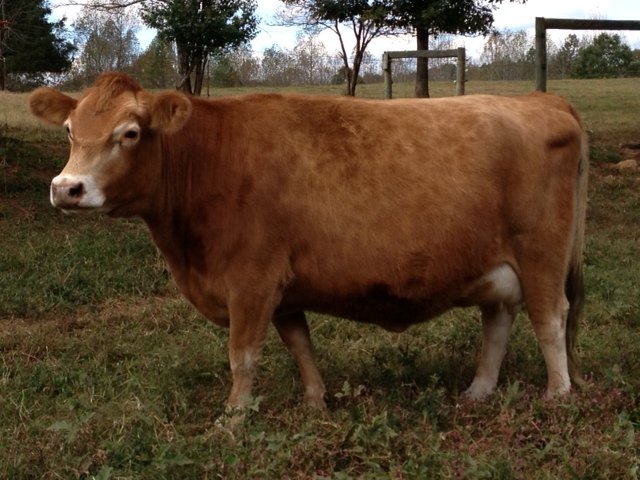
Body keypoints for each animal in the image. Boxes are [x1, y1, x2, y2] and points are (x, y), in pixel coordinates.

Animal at [29, 72, 588, 412]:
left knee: (549, 318)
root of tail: (542, 100)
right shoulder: (282, 283)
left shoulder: (251, 279)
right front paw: (316, 401)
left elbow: (243, 354)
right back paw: (478, 391)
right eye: (69, 129)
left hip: (540, 254)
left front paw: (233, 417)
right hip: (493, 262)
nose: (67, 188)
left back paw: (558, 396)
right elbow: (298, 343)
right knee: (498, 320)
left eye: (129, 133)